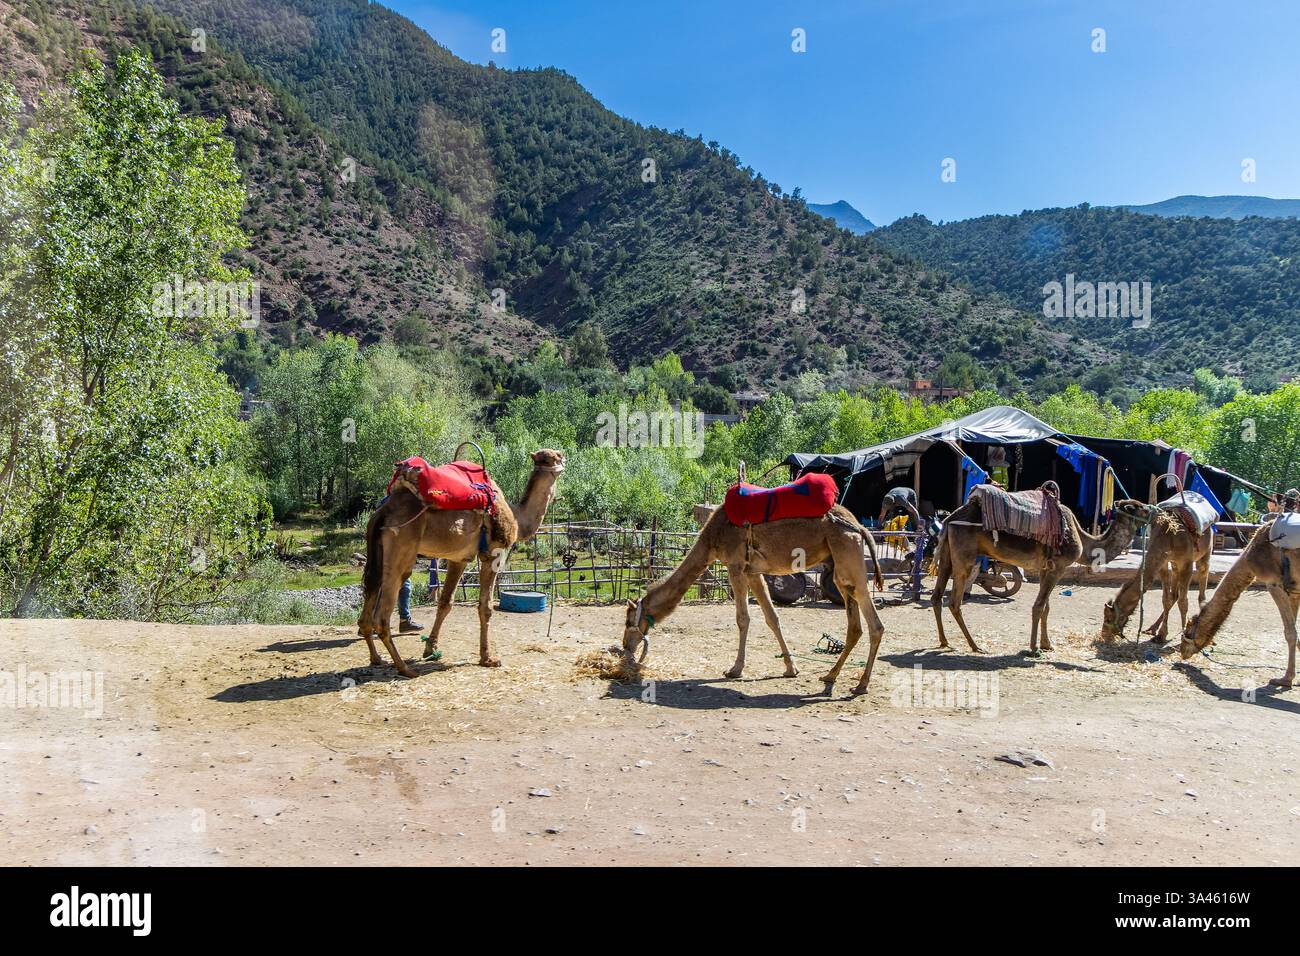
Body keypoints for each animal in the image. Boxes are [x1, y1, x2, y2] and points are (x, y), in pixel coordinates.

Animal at [358, 449, 566, 677]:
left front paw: (431, 648)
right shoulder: (493, 554)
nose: (564, 459)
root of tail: (383, 512)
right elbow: (485, 607)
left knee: (370, 593)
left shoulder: (458, 559)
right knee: (383, 614)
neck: (518, 519)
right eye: (557, 456)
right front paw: (488, 658)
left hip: (377, 551)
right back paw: (405, 668)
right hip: (401, 551)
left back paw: (376, 658)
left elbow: (445, 602)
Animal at [621, 504, 888, 696]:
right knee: (855, 626)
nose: (625, 646)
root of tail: (860, 528)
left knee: (875, 624)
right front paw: (791, 669)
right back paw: (830, 676)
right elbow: (772, 617)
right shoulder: (754, 572)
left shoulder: (736, 566)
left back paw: (861, 685)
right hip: (839, 564)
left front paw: (735, 670)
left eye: (628, 621)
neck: (711, 539)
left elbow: (743, 618)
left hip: (848, 560)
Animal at [932, 495, 1153, 654]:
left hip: (947, 555)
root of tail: (949, 519)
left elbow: (1046, 607)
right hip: (965, 557)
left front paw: (1047, 644)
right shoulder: (1058, 567)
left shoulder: (1043, 568)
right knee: (954, 602)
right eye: (1138, 506)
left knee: (937, 597)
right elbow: (1039, 607)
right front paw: (1034, 648)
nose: (1154, 509)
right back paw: (975, 645)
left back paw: (945, 641)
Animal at [1101, 509, 1212, 643]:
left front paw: (1183, 634)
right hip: (1174, 565)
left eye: (1108, 618)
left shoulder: (1186, 563)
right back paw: (1152, 628)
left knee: (1202, 584)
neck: (1168, 538)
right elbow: (1166, 599)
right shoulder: (1163, 562)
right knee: (1174, 595)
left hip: (1205, 553)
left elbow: (1183, 602)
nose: (1103, 634)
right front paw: (1161, 634)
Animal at [1181, 524, 1300, 688]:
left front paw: (1285, 679)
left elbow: (1290, 632)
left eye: (1189, 628)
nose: (1182, 651)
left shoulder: (1274, 583)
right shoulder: (1294, 591)